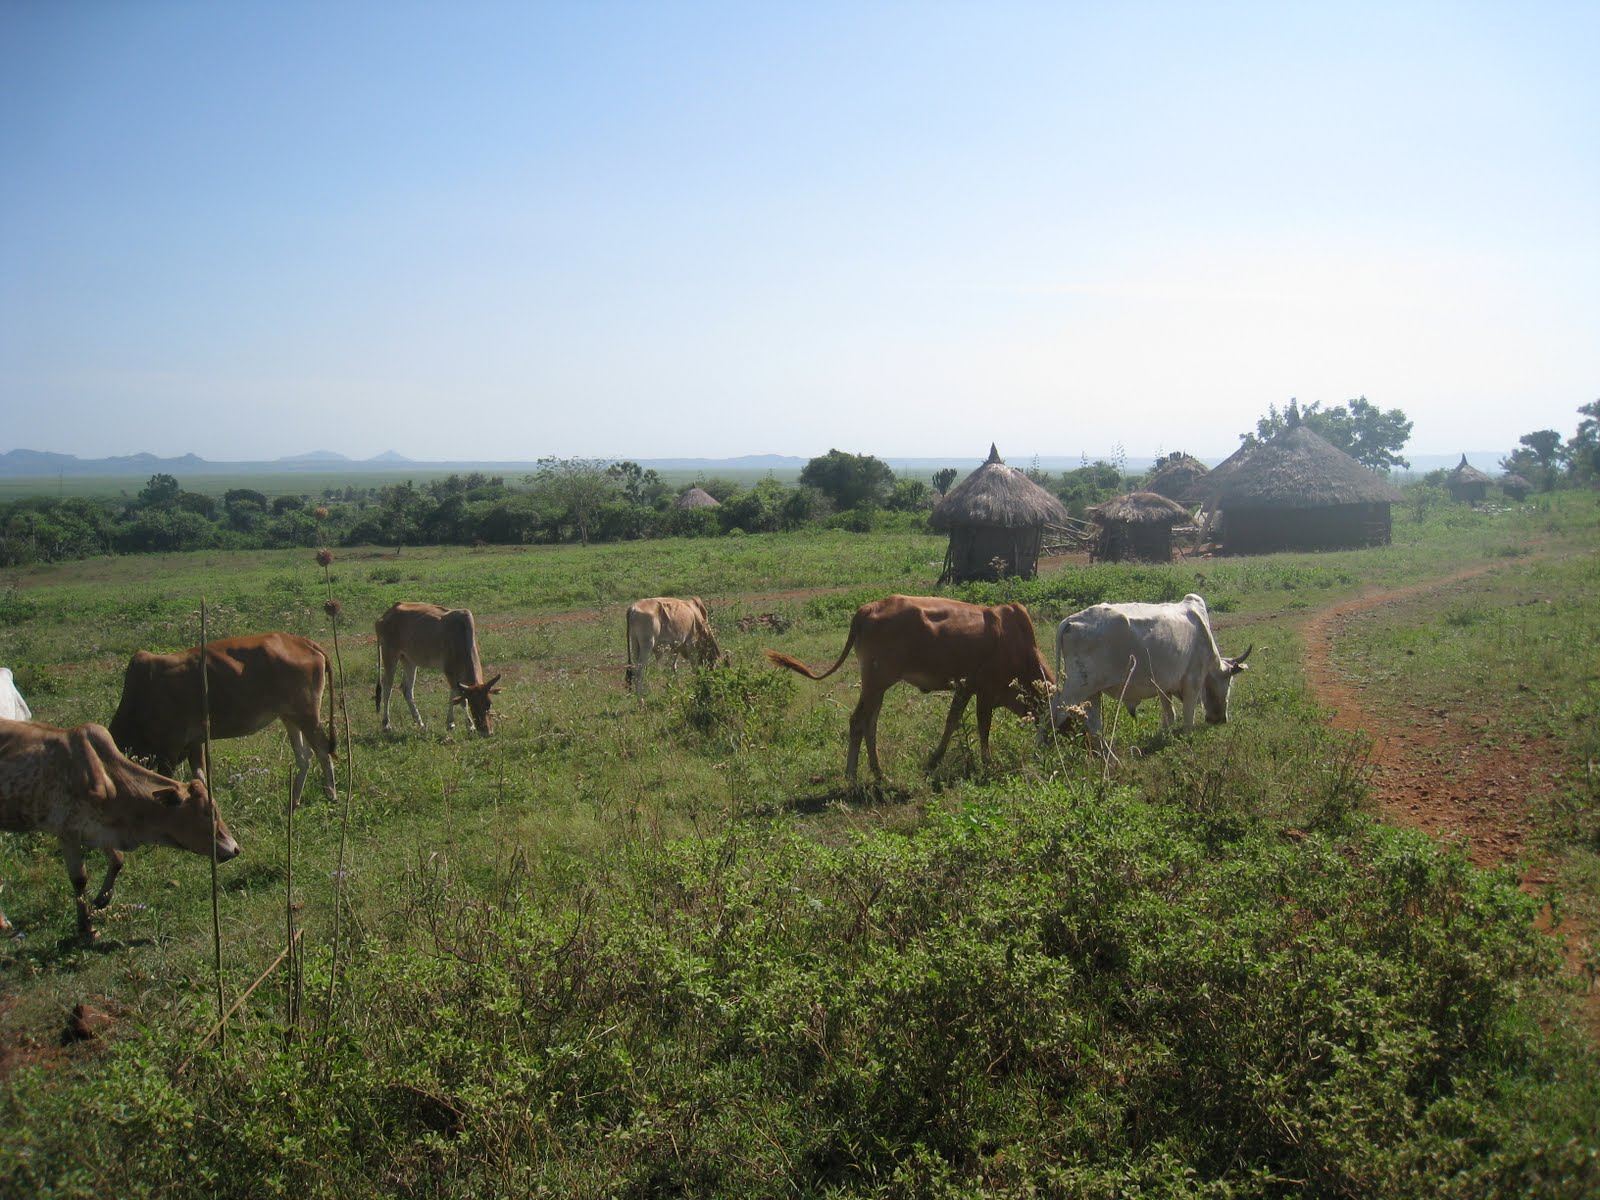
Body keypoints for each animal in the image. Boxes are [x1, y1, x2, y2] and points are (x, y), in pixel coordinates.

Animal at [0, 718, 239, 939]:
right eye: (208, 812)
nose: (235, 849)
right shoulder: (67, 831)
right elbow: (79, 879)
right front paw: (86, 927)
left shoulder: (101, 829)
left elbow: (117, 860)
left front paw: (100, 901)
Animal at [109, 633, 337, 808]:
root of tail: (301, 641)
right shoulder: (195, 743)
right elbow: (199, 777)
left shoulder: (170, 750)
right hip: (289, 716)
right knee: (304, 756)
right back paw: (295, 800)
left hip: (307, 715)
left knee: (322, 750)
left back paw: (331, 794)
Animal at [374, 603, 502, 735]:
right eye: (474, 705)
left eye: (489, 704)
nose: (487, 732)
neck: (460, 635)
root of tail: (384, 616)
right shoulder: (449, 671)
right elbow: (461, 699)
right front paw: (469, 726)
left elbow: (453, 695)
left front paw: (451, 723)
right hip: (389, 653)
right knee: (387, 687)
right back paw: (386, 724)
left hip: (409, 660)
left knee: (406, 689)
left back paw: (420, 723)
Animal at [765, 594, 1055, 780]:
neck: (1020, 648)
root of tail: (865, 610)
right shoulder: (985, 690)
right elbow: (984, 728)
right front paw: (988, 764)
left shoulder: (965, 689)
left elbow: (952, 723)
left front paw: (934, 760)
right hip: (876, 682)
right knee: (858, 721)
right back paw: (852, 775)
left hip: (876, 687)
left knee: (869, 723)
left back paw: (877, 771)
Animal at [1045, 593, 1251, 740]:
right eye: (1229, 682)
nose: (1221, 720)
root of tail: (1070, 621)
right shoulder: (1192, 681)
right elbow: (1187, 716)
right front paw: (1186, 739)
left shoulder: (1164, 687)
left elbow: (1169, 714)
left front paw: (1165, 735)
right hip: (1077, 687)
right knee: (1053, 714)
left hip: (1092, 692)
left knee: (1093, 723)